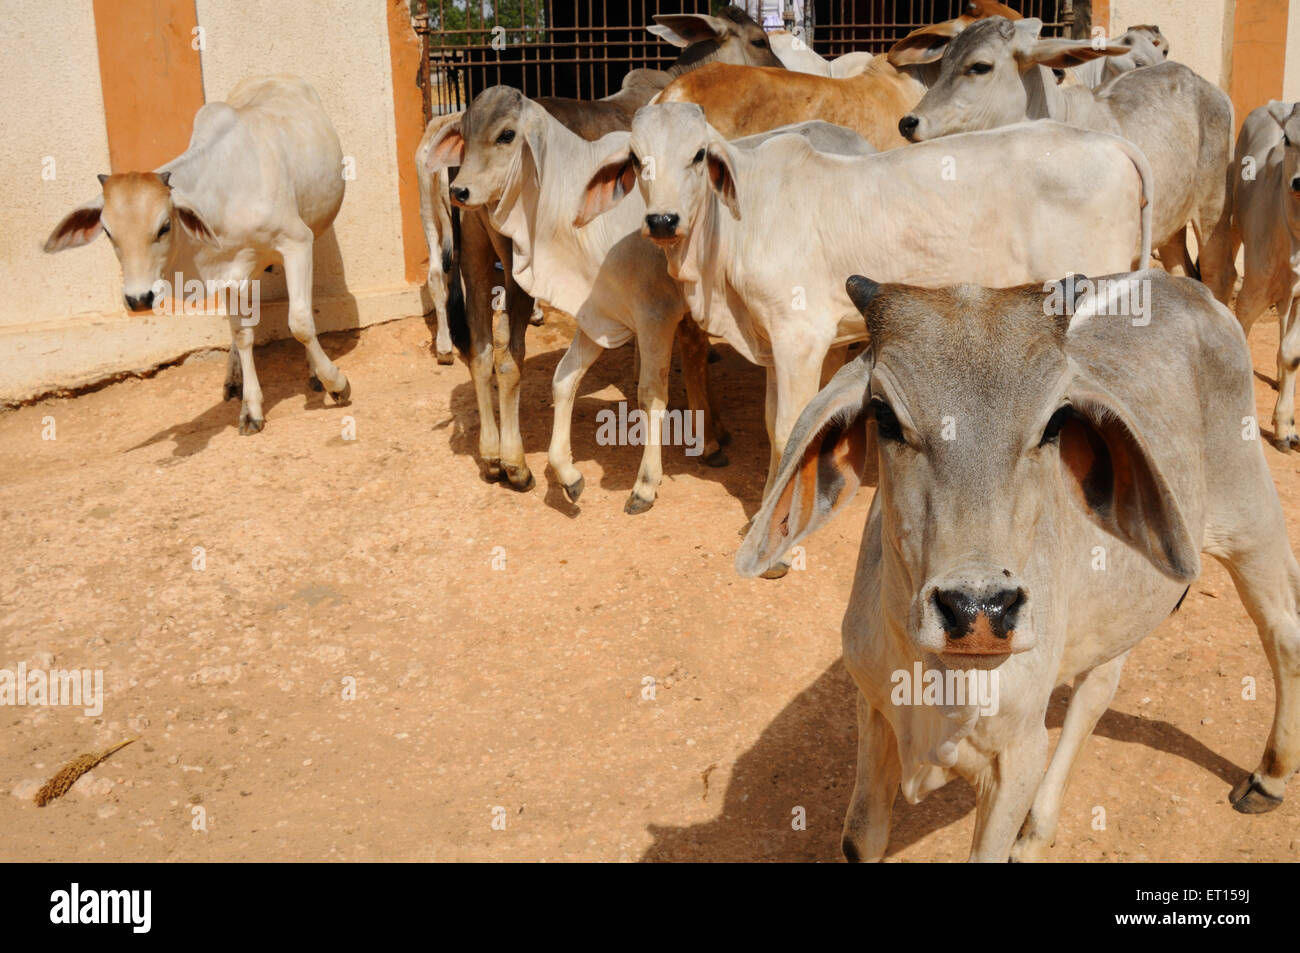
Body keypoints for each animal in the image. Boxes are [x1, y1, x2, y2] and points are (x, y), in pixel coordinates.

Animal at [43, 75, 348, 435]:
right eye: (107, 231)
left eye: (164, 226)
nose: (138, 299)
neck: (225, 192)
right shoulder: (228, 271)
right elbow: (242, 335)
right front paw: (251, 408)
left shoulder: (297, 242)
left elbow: (300, 322)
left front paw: (335, 382)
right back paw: (234, 378)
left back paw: (314, 372)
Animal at [421, 7, 785, 491]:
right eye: (761, 40)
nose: (782, 72)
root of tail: (461, 167)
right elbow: (687, 342)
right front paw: (710, 436)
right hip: (515, 269)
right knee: (507, 358)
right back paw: (516, 462)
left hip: (475, 259)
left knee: (479, 353)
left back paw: (492, 453)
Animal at [593, 102, 1151, 571]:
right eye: (638, 159)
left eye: (697, 155)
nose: (662, 220)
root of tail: (1109, 143)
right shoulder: (779, 342)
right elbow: (778, 423)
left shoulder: (799, 337)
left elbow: (787, 427)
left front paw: (776, 542)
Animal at [736, 270, 1300, 861]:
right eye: (885, 415)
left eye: (1056, 422)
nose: (979, 612)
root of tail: (1186, 287)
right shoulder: (874, 716)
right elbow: (860, 839)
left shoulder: (1018, 756)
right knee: (1099, 687)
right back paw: (1038, 829)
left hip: (1251, 518)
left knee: (1284, 628)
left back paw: (1270, 777)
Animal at [897, 17, 1236, 304]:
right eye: (944, 63)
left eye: (980, 66)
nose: (909, 123)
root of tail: (1204, 83)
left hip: (1212, 207)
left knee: (1220, 273)